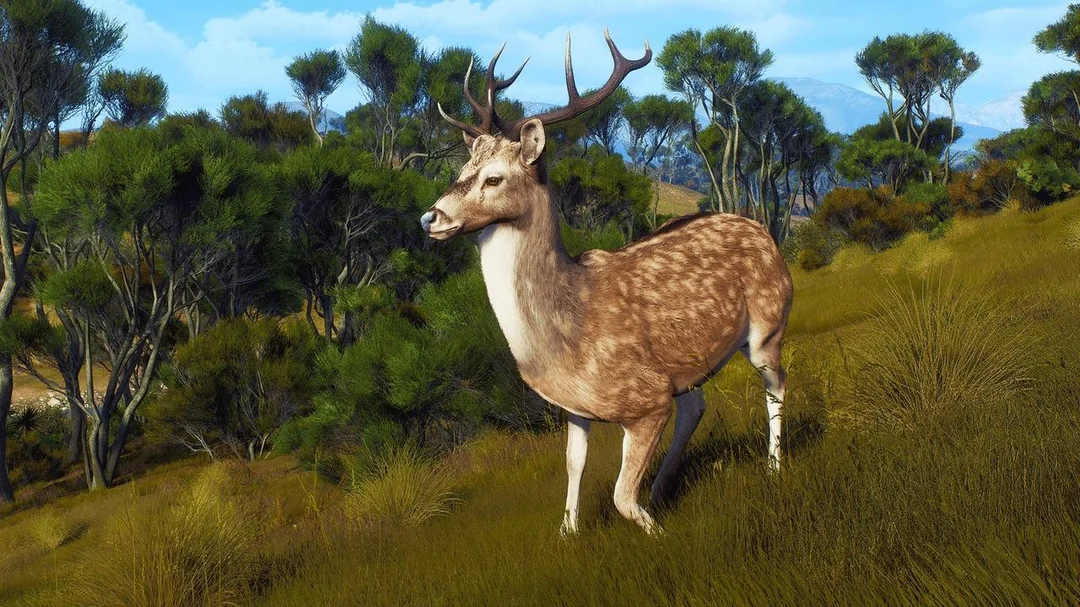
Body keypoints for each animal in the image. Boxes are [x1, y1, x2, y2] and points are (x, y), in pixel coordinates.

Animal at [420, 30, 793, 536]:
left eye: (493, 179)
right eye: (460, 173)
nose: (430, 218)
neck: (563, 340)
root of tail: (760, 228)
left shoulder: (647, 397)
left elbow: (619, 496)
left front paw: (658, 534)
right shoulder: (575, 409)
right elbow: (574, 467)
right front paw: (570, 532)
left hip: (769, 323)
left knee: (776, 384)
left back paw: (773, 469)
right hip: (689, 364)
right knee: (696, 406)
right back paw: (663, 488)